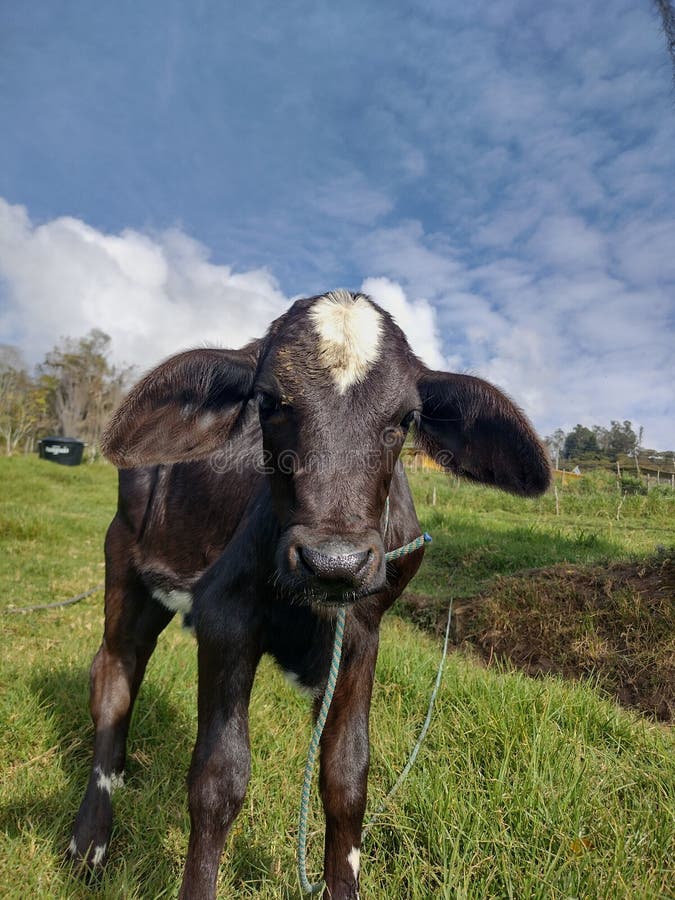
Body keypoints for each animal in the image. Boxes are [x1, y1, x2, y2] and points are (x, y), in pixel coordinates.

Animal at [68, 289, 551, 899]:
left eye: (406, 418)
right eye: (269, 402)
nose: (334, 562)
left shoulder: (362, 636)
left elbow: (347, 780)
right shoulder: (225, 617)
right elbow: (218, 780)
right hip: (125, 566)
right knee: (114, 677)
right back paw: (90, 839)